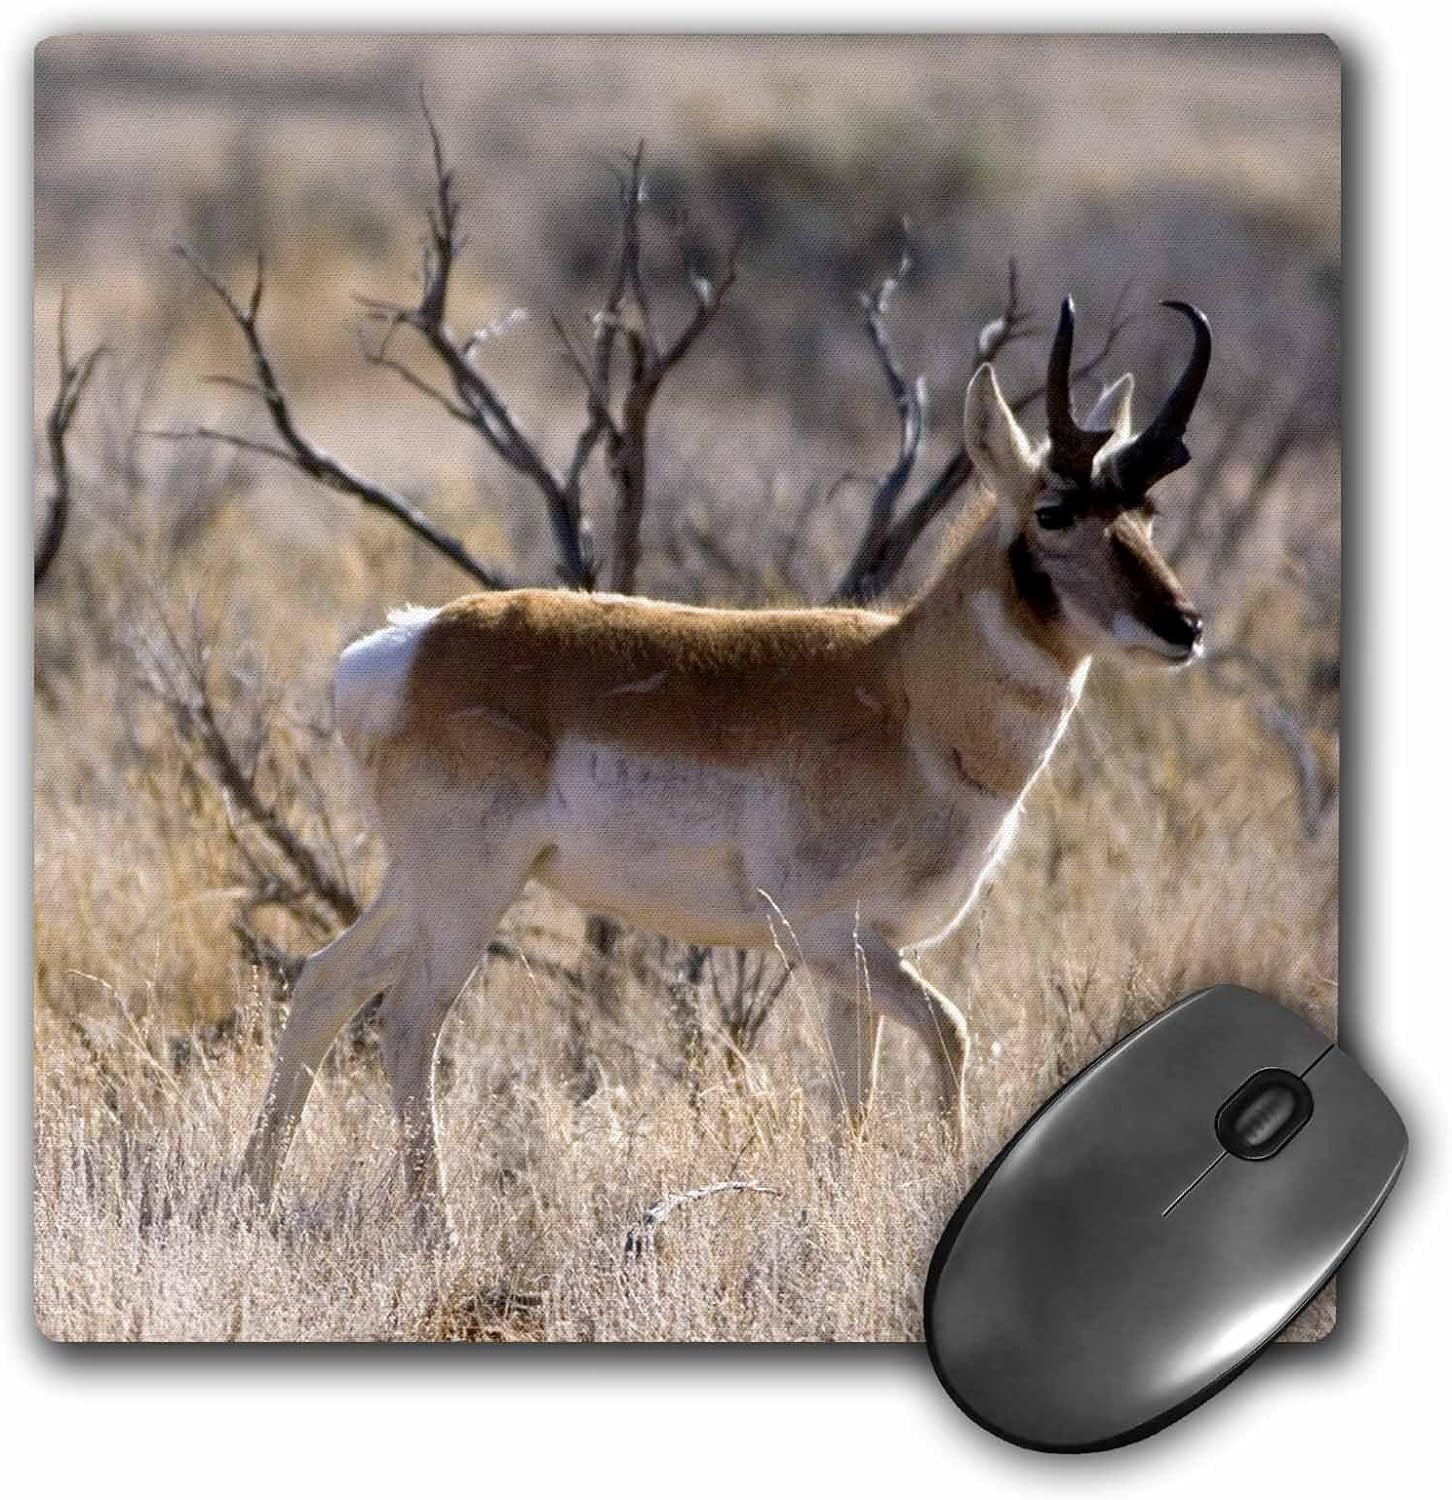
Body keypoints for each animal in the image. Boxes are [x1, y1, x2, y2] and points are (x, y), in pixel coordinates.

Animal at [242, 297, 1210, 1228]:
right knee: (409, 1024)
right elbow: (951, 1032)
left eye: (1145, 514)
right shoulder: (828, 934)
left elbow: (855, 1097)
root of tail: (408, 647)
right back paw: (434, 1230)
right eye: (1055, 511)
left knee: (326, 983)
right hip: (466, 896)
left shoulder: (856, 964)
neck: (905, 689)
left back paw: (253, 1195)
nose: (1185, 626)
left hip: (422, 889)